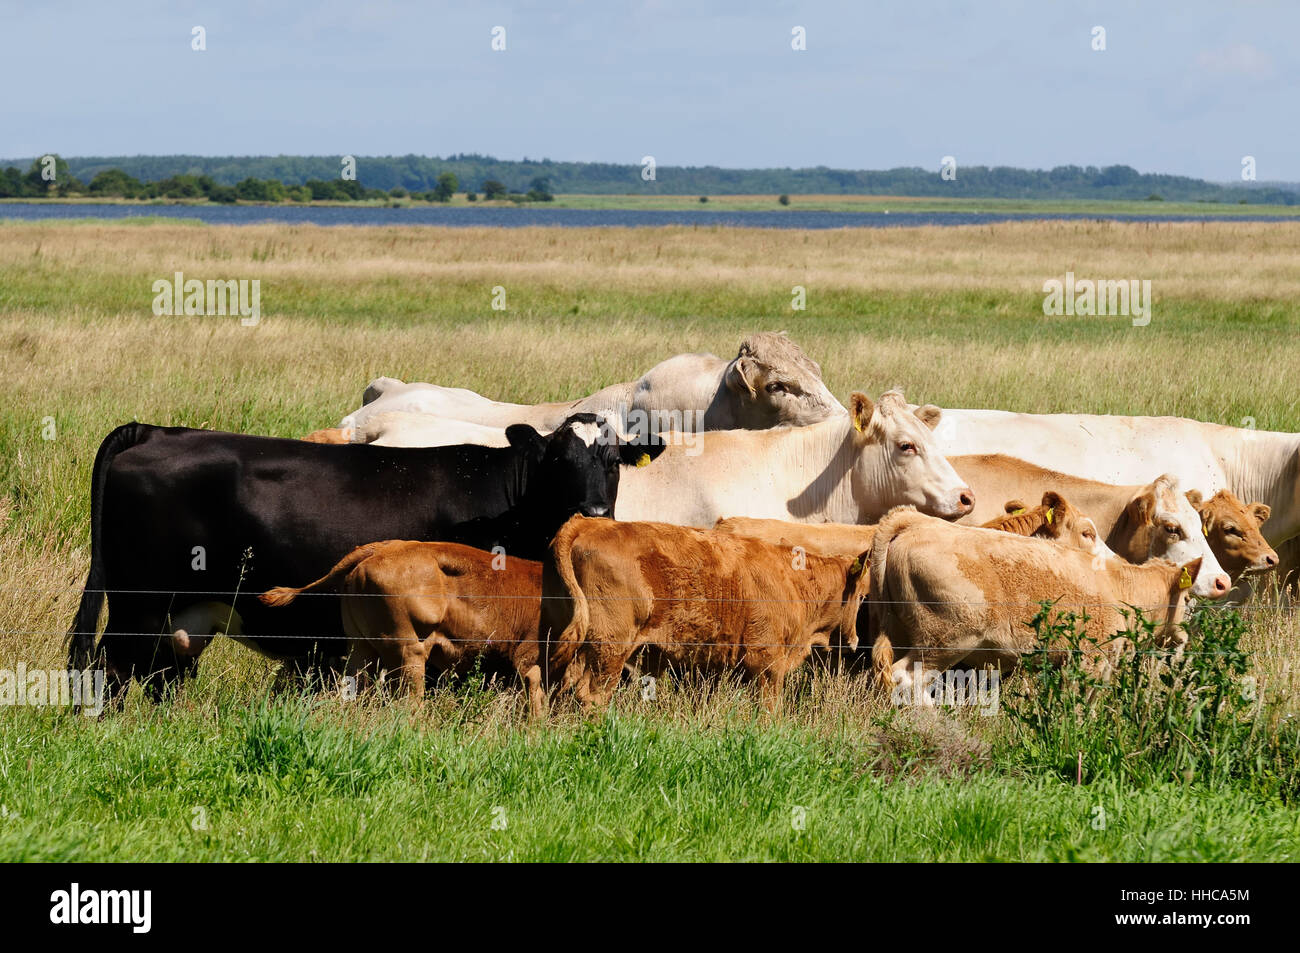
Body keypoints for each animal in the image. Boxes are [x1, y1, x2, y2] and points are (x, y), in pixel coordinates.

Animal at [541, 516, 870, 711]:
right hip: (610, 648)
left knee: (565, 688)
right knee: (592, 695)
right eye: (863, 595)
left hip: (584, 649)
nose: (856, 642)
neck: (793, 581)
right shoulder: (766, 663)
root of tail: (590, 523)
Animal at [868, 508, 1204, 694]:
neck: (1120, 586)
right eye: (1187, 597)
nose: (1187, 637)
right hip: (944, 643)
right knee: (906, 679)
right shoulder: (1088, 660)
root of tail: (919, 523)